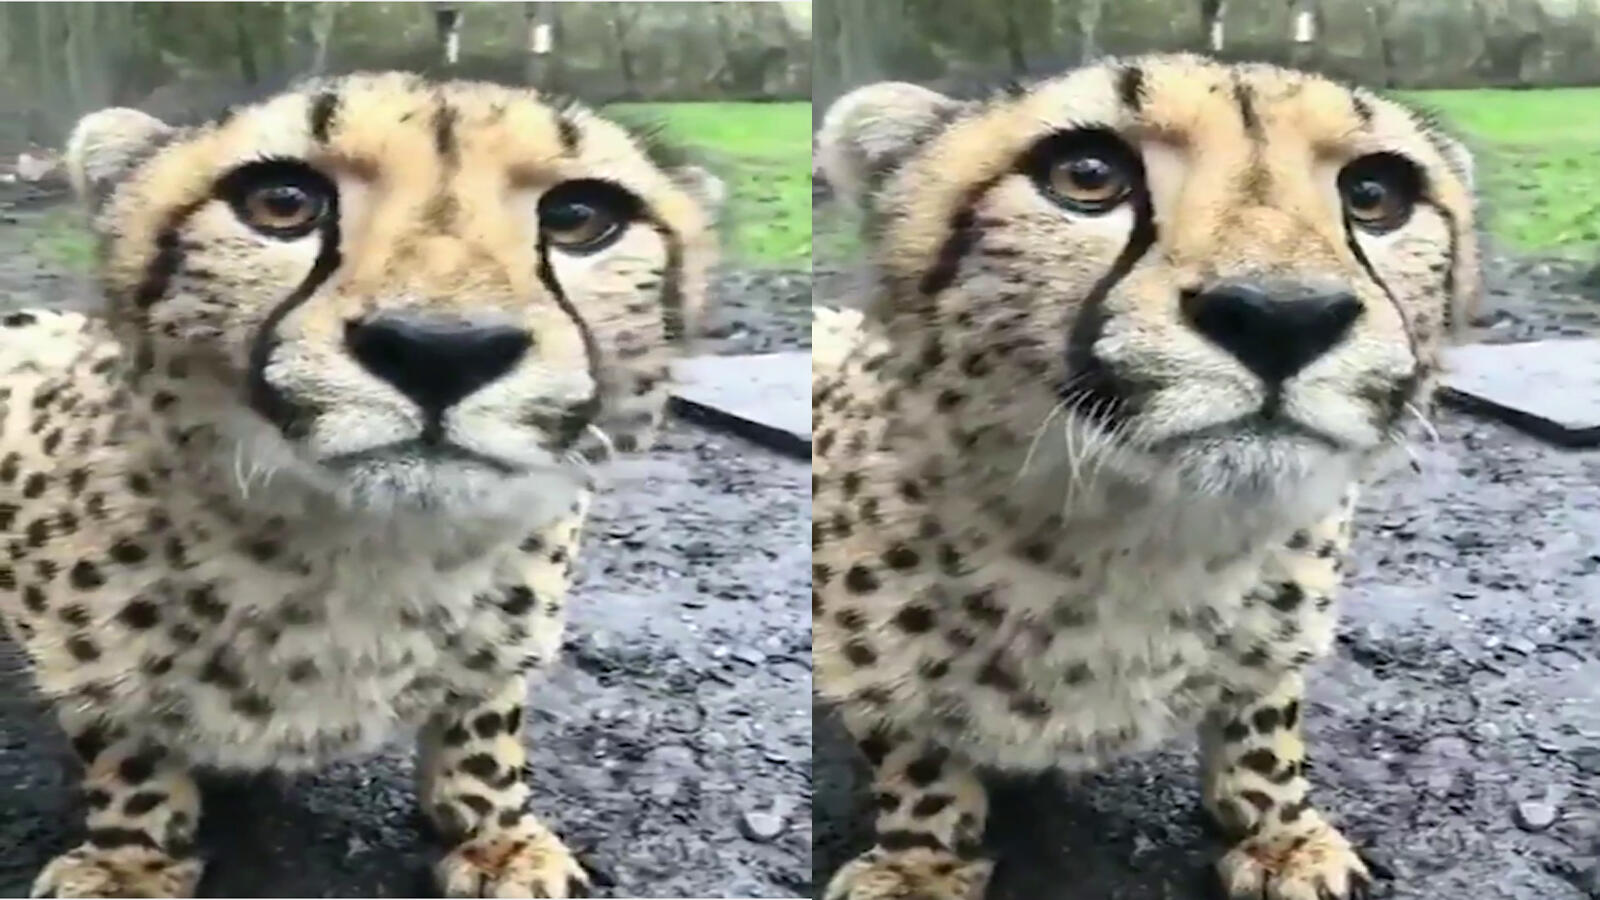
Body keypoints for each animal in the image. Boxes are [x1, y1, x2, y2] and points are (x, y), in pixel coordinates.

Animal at [0, 71, 718, 898]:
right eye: (281, 203)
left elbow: (487, 717)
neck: (364, 556)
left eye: (579, 219)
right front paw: (128, 859)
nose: (442, 350)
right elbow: (118, 732)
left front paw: (499, 837)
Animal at [812, 53, 1478, 900]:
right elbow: (911, 746)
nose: (1282, 316)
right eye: (1087, 176)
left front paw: (1281, 836)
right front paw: (918, 864)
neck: (1142, 544)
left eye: (1374, 194)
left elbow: (1265, 722)